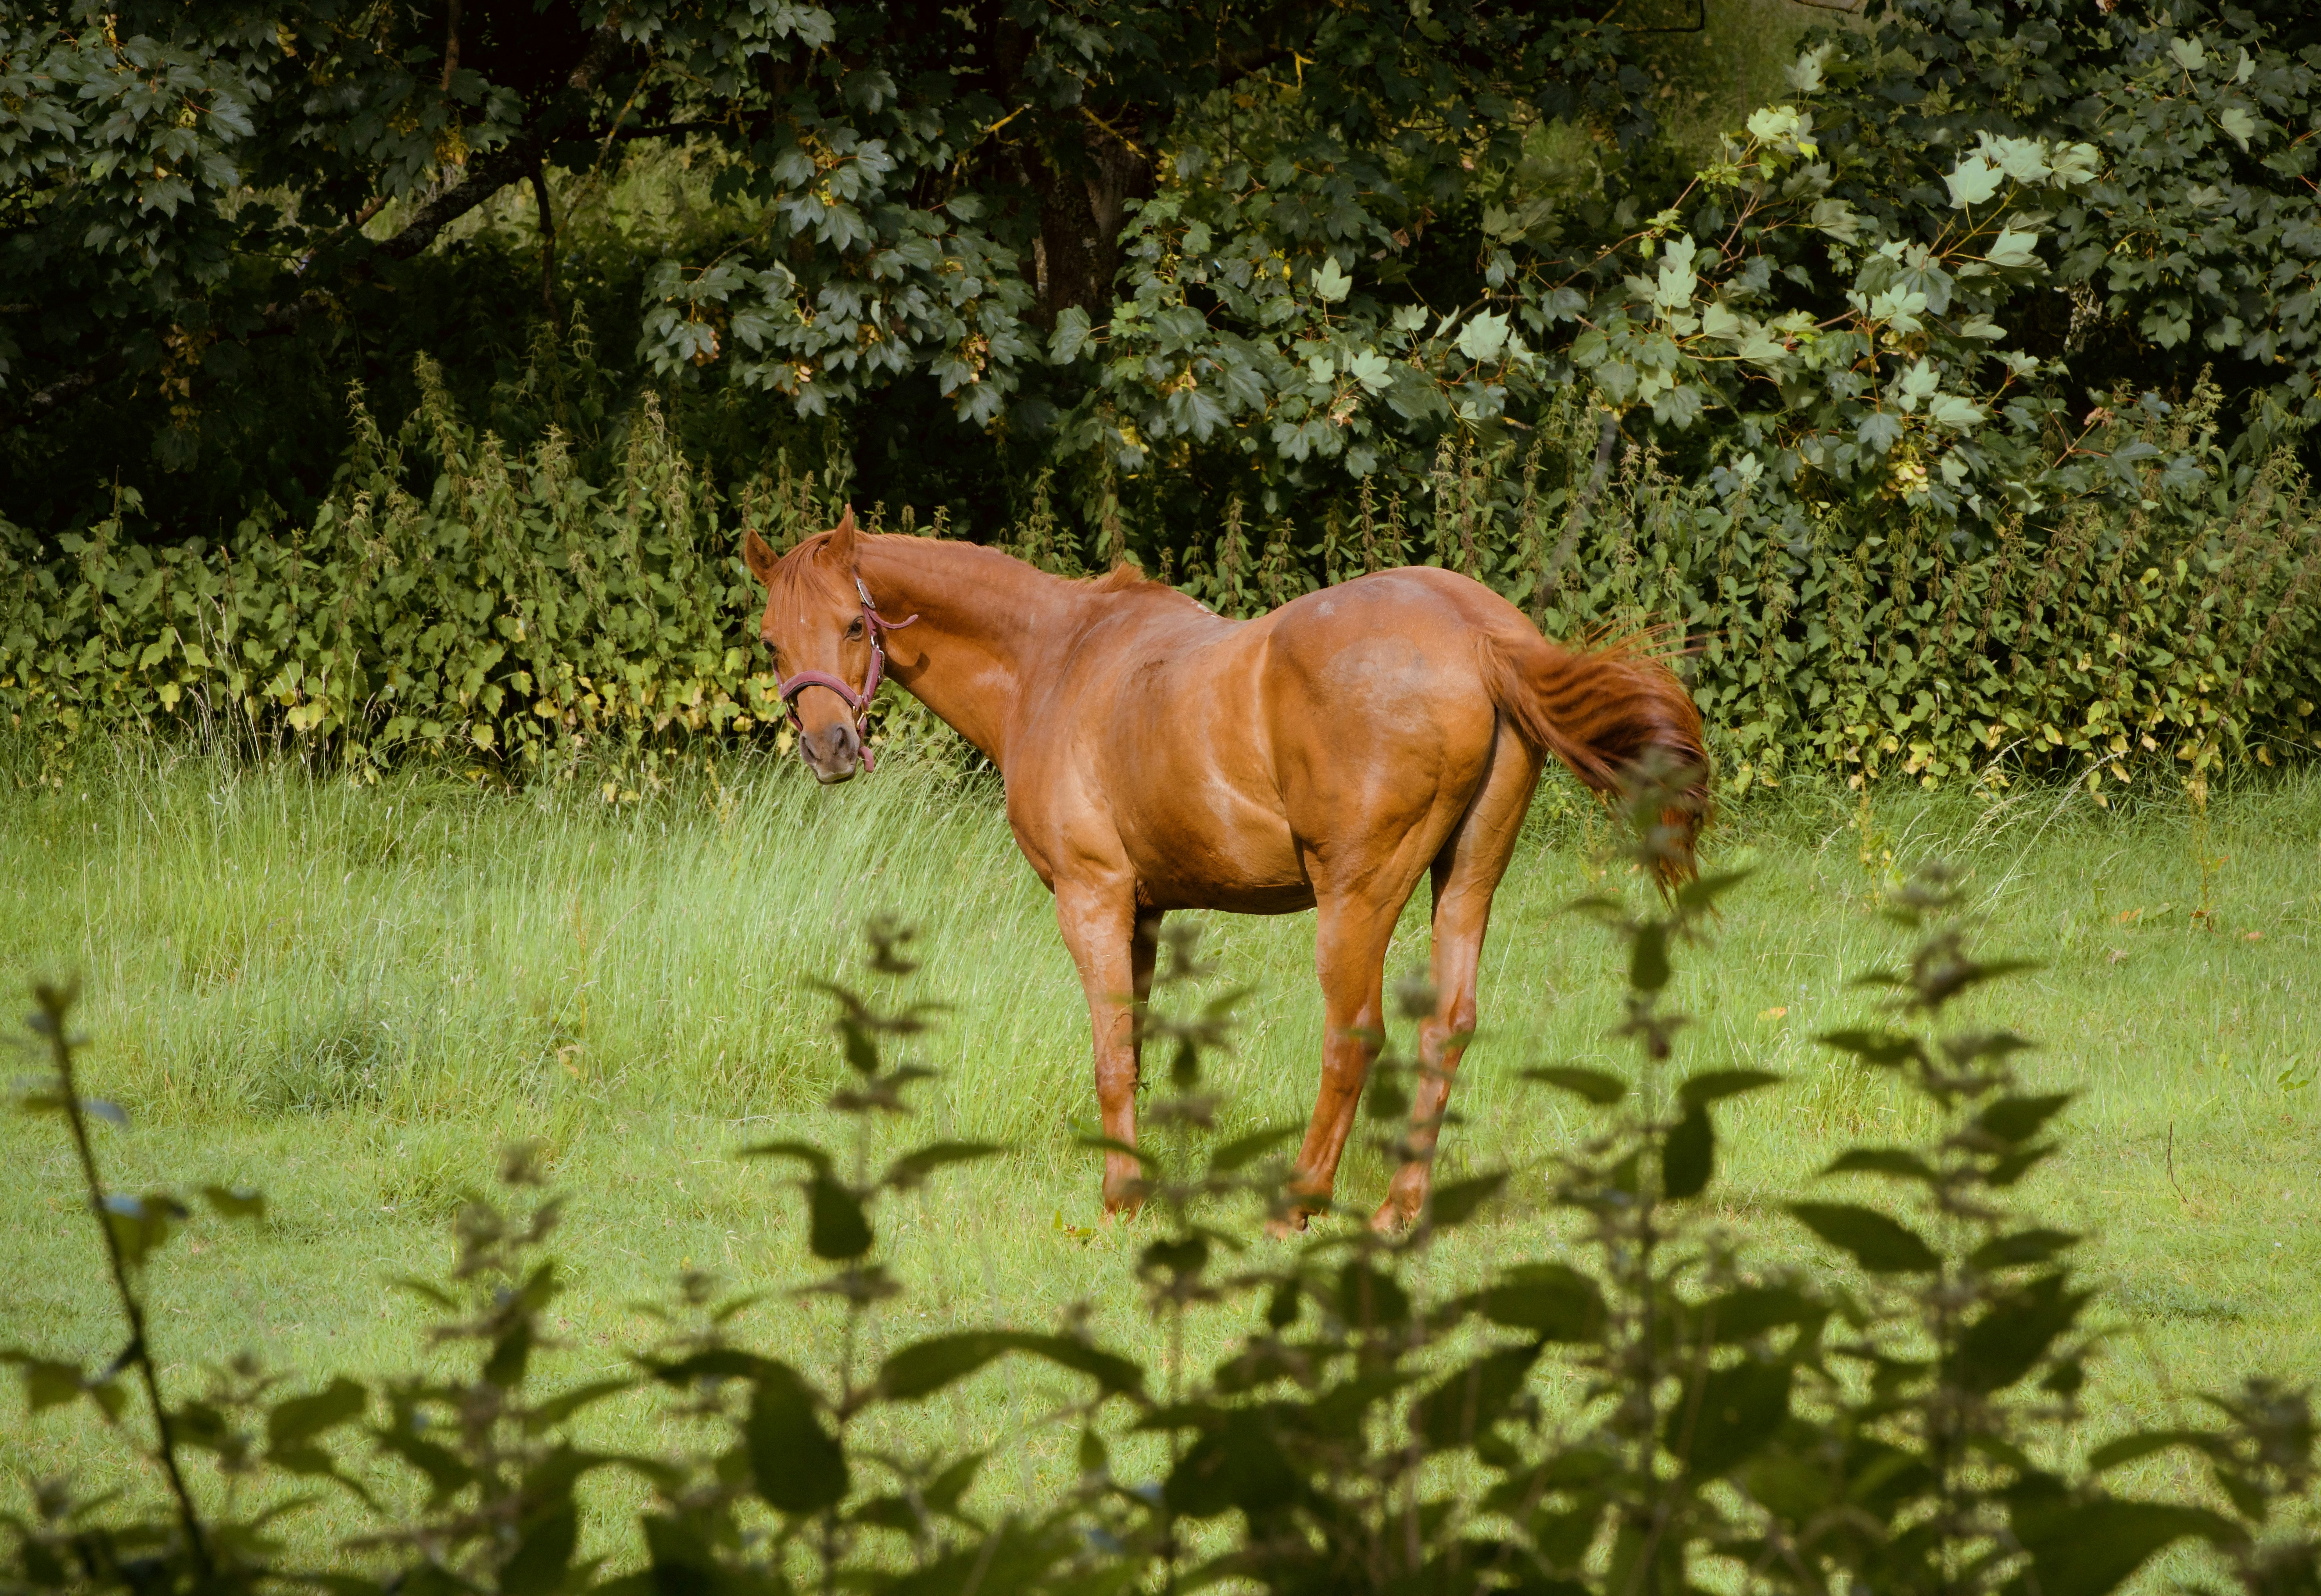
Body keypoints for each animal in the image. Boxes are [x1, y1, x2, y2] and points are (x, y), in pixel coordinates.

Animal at [742, 508, 1708, 1230]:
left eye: (855, 624)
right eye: (770, 641)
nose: (828, 748)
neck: (1054, 657)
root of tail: (1474, 630)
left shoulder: (1091, 899)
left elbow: (1109, 1054)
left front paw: (1121, 1200)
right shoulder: (1143, 912)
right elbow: (1133, 1047)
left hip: (1357, 897)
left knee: (1354, 1034)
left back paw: (1300, 1203)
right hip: (1465, 881)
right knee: (1448, 1027)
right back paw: (1399, 1210)